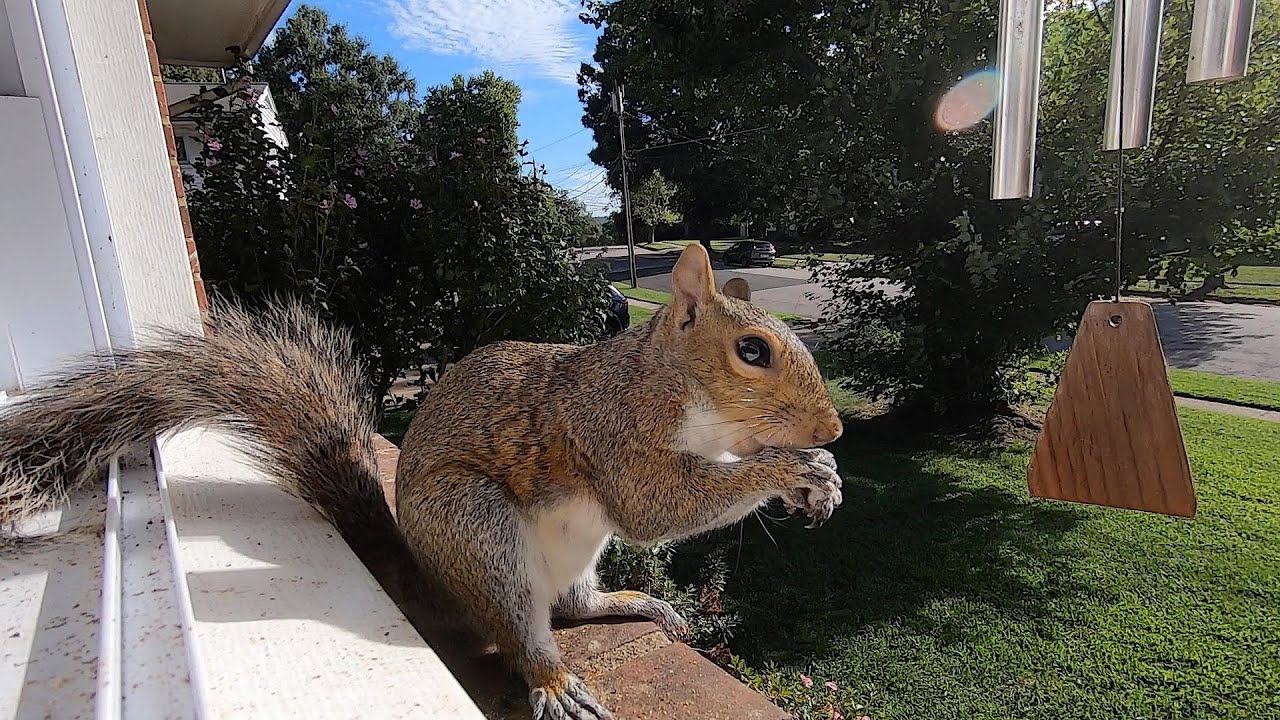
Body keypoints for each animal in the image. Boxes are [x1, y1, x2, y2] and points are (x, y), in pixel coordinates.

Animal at [0, 243, 843, 720]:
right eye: (752, 351)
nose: (833, 432)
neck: (667, 386)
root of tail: (431, 583)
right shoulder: (611, 432)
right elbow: (656, 506)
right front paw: (789, 469)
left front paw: (824, 479)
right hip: (478, 532)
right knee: (527, 632)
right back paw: (553, 681)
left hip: (570, 555)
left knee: (573, 609)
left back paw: (632, 603)